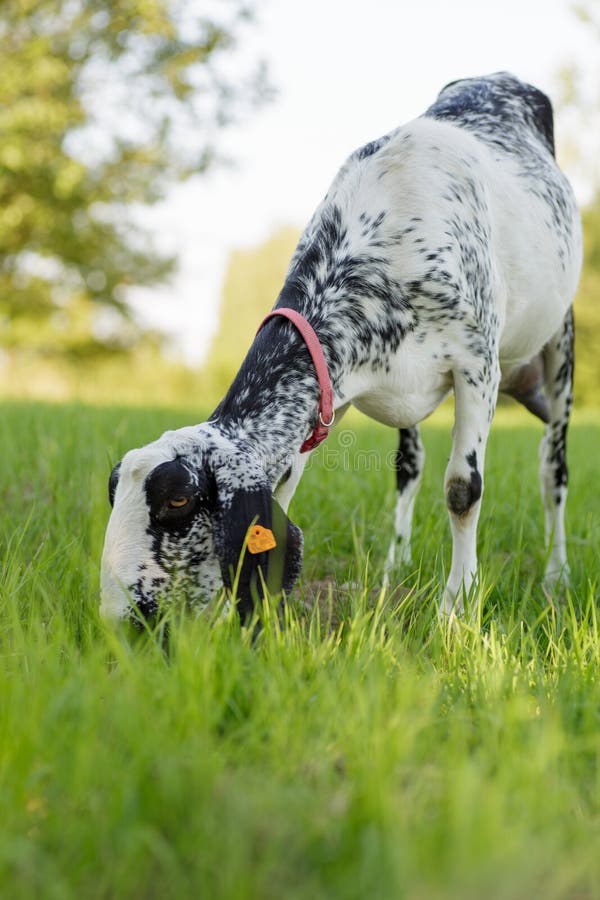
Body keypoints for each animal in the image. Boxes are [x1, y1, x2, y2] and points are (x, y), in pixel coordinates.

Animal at [101, 73, 581, 623]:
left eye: (177, 501)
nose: (119, 618)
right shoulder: (331, 392)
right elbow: (288, 483)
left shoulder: (477, 365)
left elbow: (463, 489)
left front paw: (456, 608)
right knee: (409, 467)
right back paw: (397, 562)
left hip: (560, 346)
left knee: (553, 469)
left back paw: (556, 575)